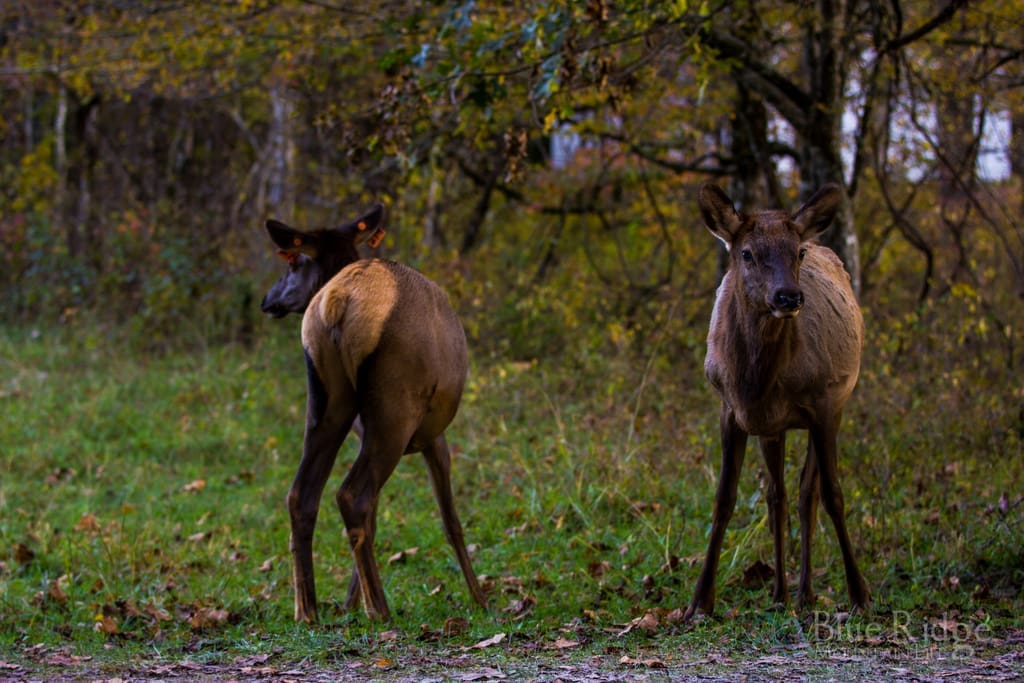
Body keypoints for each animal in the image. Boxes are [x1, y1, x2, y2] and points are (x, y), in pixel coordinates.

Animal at [261, 203, 487, 622]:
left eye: (292, 263)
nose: (268, 300)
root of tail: (337, 299)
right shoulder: (434, 434)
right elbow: (450, 519)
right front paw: (480, 599)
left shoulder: (363, 431)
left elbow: (378, 520)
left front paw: (349, 602)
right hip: (395, 408)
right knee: (352, 495)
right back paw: (379, 608)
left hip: (328, 402)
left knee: (302, 494)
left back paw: (308, 609)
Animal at [683, 183, 869, 620]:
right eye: (747, 253)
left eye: (797, 252)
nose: (788, 296)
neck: (756, 382)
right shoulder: (731, 410)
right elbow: (724, 500)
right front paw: (700, 600)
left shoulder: (824, 406)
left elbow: (834, 496)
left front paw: (859, 593)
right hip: (773, 428)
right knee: (777, 497)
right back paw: (782, 592)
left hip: (833, 404)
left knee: (805, 493)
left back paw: (804, 592)